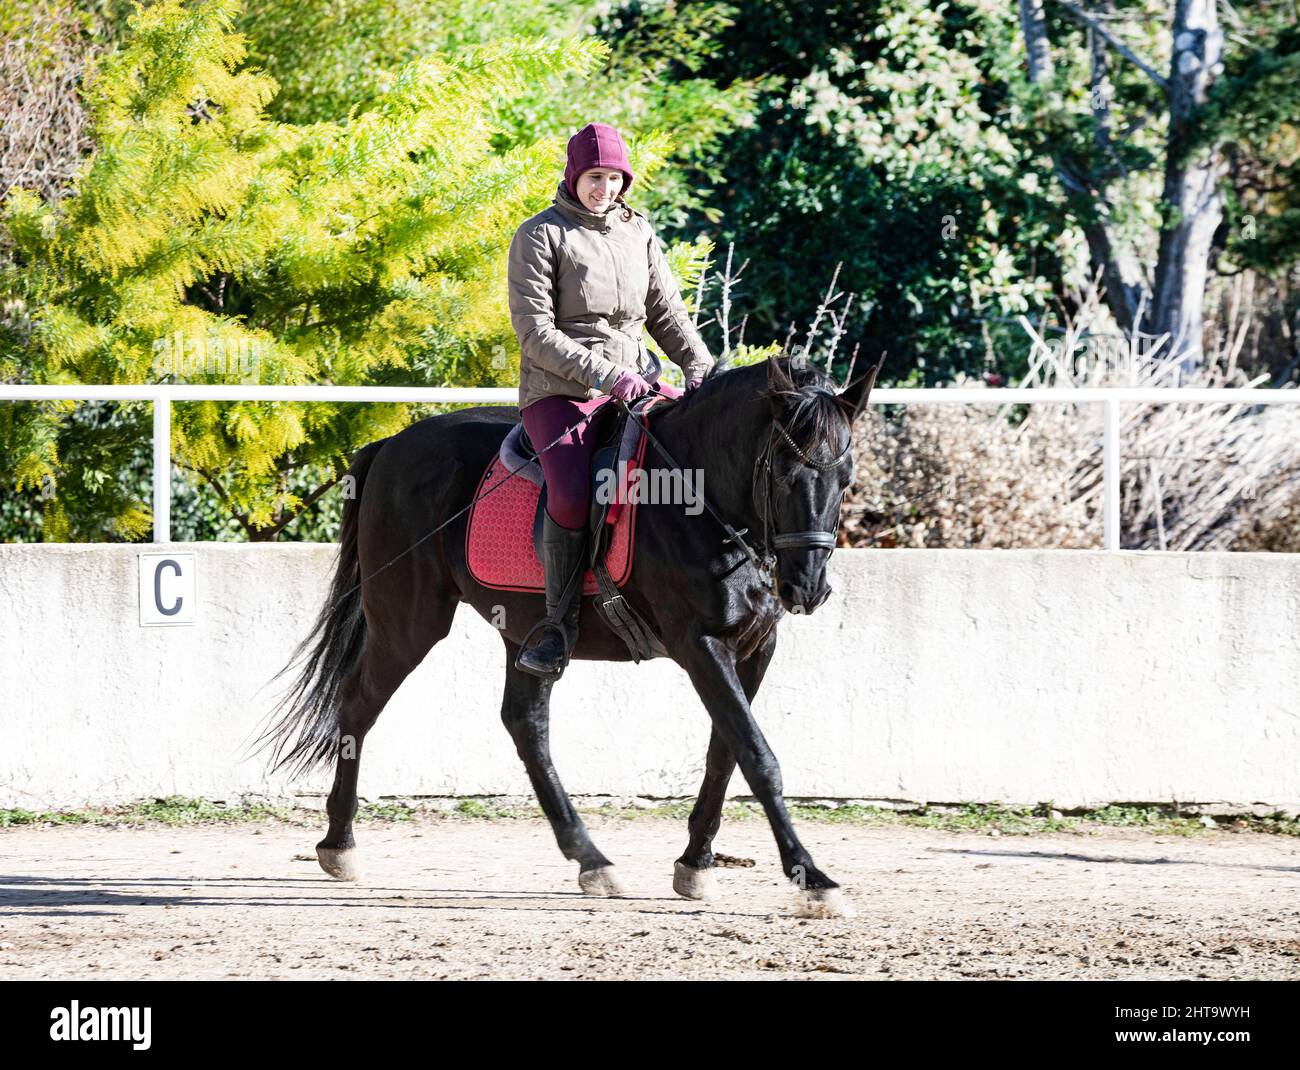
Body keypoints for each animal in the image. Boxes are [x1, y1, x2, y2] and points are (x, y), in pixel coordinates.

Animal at [256, 352, 881, 917]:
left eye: (845, 478)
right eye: (783, 472)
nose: (808, 588)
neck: (697, 496)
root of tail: (390, 445)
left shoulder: (754, 648)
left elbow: (724, 752)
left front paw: (695, 864)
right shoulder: (699, 645)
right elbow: (757, 755)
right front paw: (812, 877)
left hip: (524, 631)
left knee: (525, 725)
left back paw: (590, 859)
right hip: (408, 622)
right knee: (359, 705)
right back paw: (340, 845)